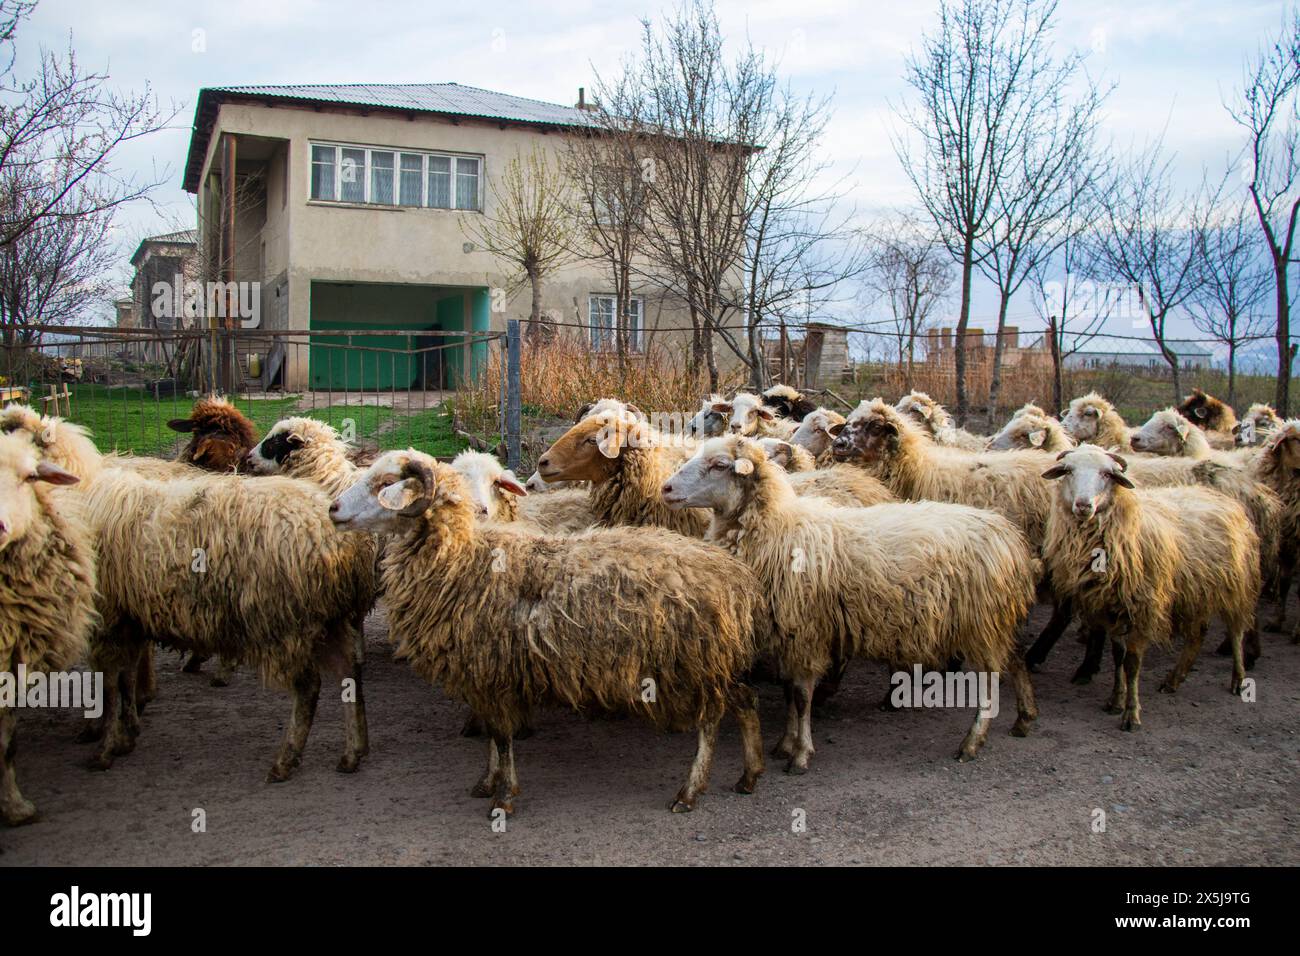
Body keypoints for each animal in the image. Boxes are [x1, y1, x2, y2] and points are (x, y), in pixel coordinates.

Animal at [77, 455, 376, 780]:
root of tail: (344, 542)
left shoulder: (107, 620)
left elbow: (108, 687)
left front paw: (105, 748)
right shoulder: (128, 621)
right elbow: (125, 679)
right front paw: (126, 736)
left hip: (286, 622)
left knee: (308, 687)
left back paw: (286, 759)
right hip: (328, 618)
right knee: (349, 672)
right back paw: (353, 752)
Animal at [329, 449, 770, 816]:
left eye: (385, 483)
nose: (332, 508)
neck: (461, 560)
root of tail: (734, 573)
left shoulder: (492, 670)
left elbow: (503, 737)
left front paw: (504, 798)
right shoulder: (485, 672)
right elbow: (493, 735)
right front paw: (487, 781)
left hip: (693, 661)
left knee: (711, 720)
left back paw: (690, 791)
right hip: (706, 660)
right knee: (745, 700)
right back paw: (750, 775)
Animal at [662, 435, 1039, 770]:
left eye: (719, 464)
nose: (666, 488)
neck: (778, 531)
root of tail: (1008, 535)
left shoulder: (806, 631)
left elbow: (801, 696)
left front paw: (800, 754)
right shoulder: (791, 634)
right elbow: (790, 693)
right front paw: (786, 743)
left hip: (982, 621)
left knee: (990, 681)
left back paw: (972, 742)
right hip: (992, 621)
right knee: (1015, 656)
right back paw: (1024, 717)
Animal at [1040, 445, 1260, 731]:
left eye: (1107, 474)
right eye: (1068, 471)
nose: (1084, 505)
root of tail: (1221, 498)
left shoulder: (1143, 606)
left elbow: (1132, 662)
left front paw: (1131, 713)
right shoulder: (1109, 607)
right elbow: (1118, 656)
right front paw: (1115, 700)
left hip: (1235, 585)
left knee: (1235, 631)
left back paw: (1238, 678)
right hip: (1195, 591)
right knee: (1198, 634)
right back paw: (1174, 679)